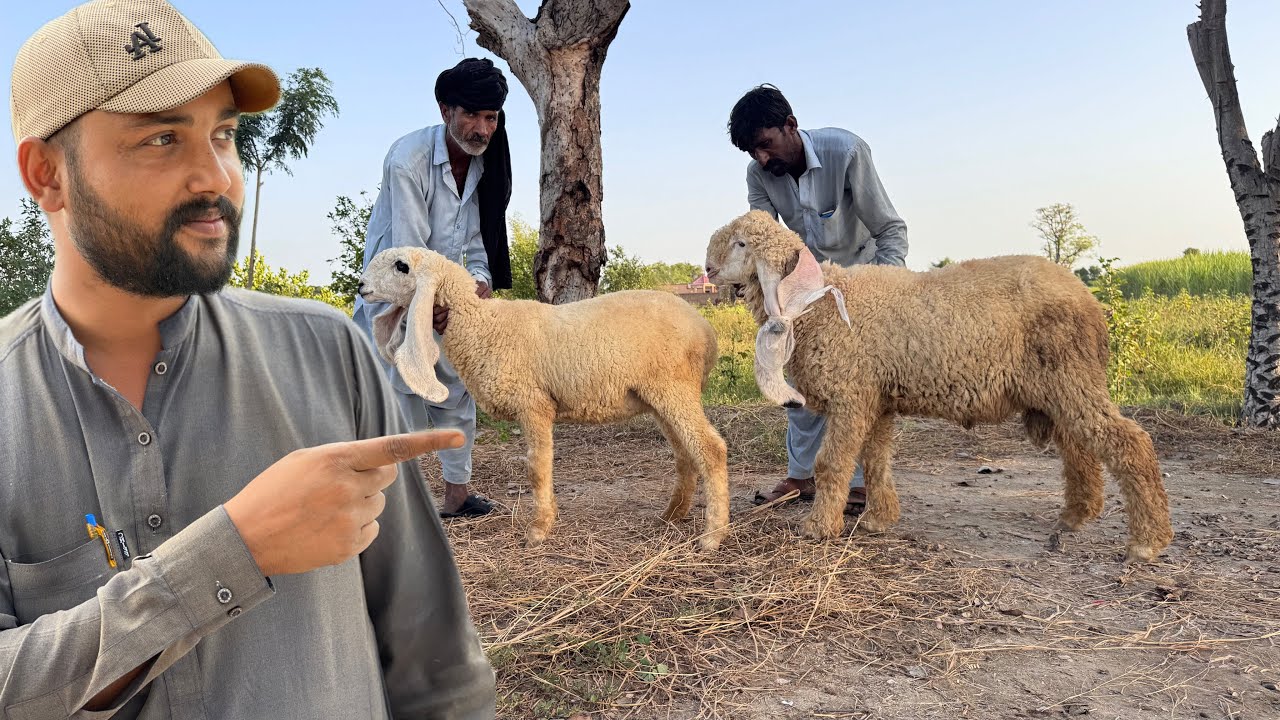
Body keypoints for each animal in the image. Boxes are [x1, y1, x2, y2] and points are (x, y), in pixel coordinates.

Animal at [357, 247, 731, 551]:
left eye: (401, 266)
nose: (361, 287)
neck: (483, 324)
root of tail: (706, 331)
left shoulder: (532, 403)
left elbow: (537, 468)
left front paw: (538, 530)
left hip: (673, 387)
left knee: (710, 449)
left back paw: (712, 535)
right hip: (660, 397)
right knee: (685, 453)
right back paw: (672, 515)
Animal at [703, 210, 1174, 563]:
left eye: (742, 243)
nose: (707, 269)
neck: (820, 304)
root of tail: (1090, 300)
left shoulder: (851, 394)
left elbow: (832, 463)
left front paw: (818, 528)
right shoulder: (876, 398)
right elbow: (875, 461)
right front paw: (879, 520)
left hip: (1071, 377)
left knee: (1128, 441)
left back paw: (1147, 541)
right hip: (1059, 386)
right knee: (1079, 447)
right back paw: (1077, 515)